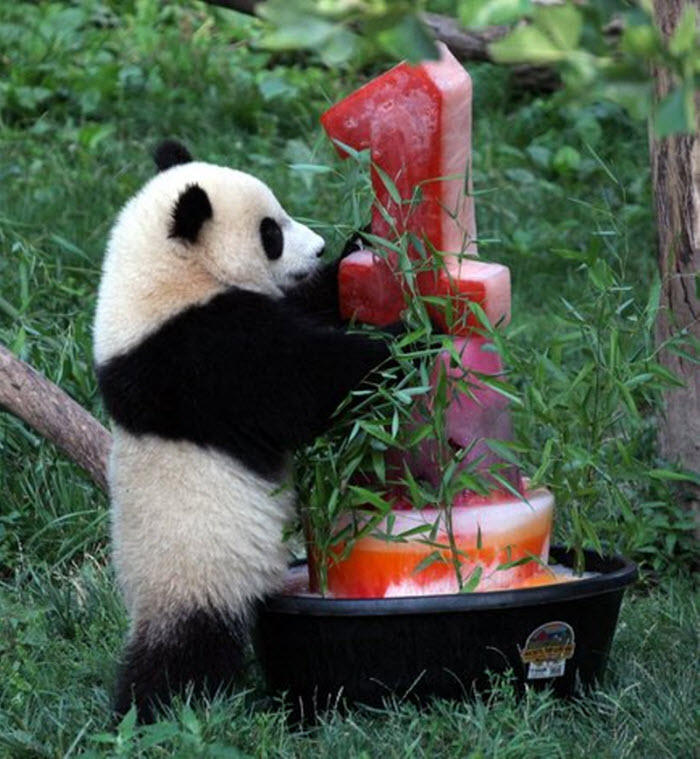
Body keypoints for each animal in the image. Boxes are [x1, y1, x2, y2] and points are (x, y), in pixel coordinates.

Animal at [93, 140, 394, 722]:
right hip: (196, 574)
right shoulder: (195, 355)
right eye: (270, 233)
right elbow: (302, 383)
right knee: (187, 653)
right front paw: (406, 342)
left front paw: (366, 241)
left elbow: (306, 309)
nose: (317, 248)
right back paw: (149, 712)